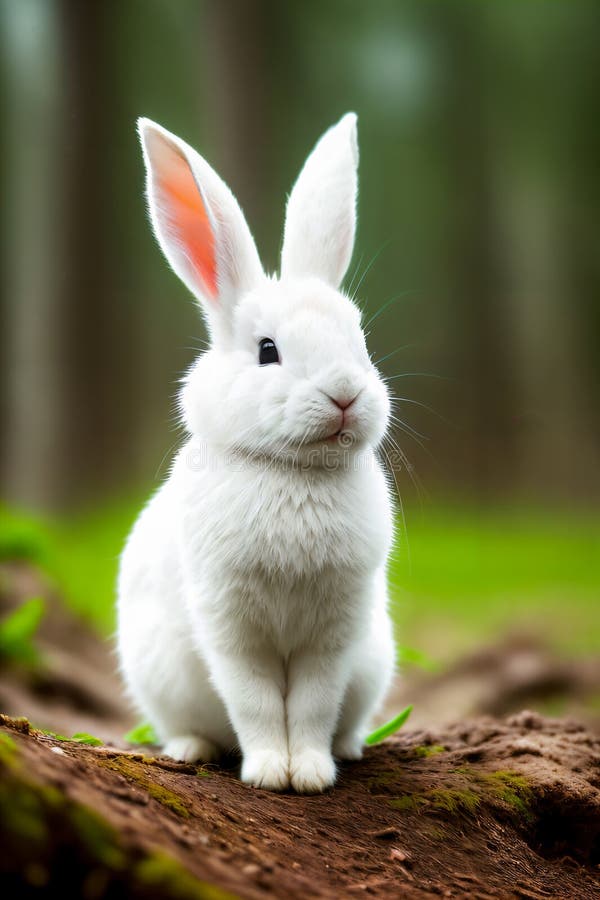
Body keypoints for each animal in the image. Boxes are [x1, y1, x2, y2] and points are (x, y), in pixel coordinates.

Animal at [117, 112, 396, 793]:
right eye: (268, 350)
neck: (294, 471)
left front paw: (313, 774)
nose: (345, 394)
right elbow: (257, 701)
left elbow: (314, 703)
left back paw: (349, 749)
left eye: (359, 339)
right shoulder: (231, 626)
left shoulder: (335, 633)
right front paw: (271, 773)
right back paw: (190, 750)